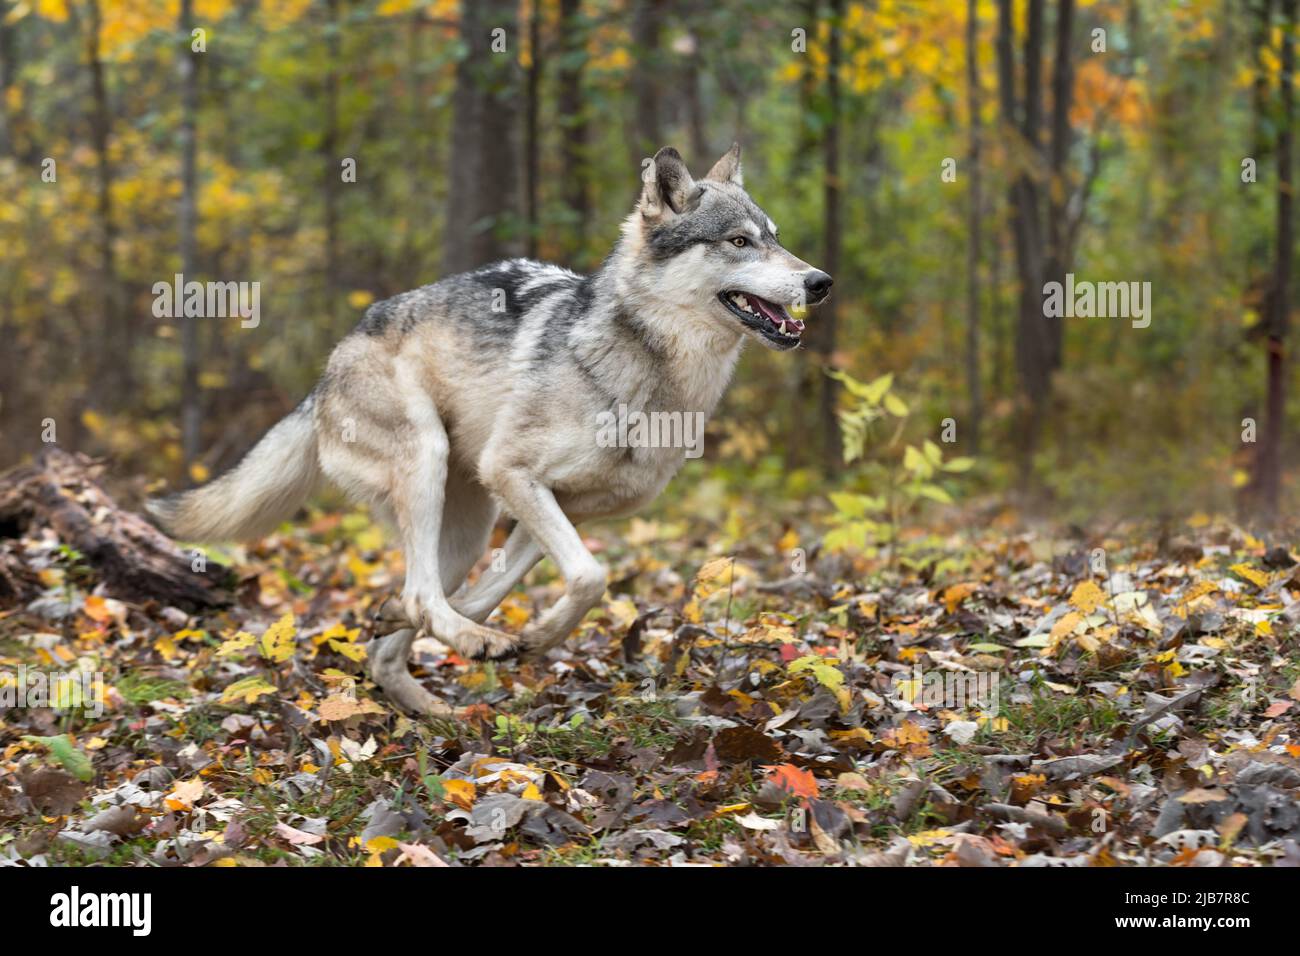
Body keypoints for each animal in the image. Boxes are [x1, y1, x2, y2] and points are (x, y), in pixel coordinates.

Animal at [147, 145, 833, 715]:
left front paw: (510, 634)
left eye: (776, 239)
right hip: (428, 458)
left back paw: (434, 702)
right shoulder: (514, 474)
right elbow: (590, 578)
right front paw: (522, 634)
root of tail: (328, 367)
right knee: (422, 593)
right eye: (739, 241)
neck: (650, 373)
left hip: (468, 528)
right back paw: (462, 647)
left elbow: (531, 585)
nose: (821, 281)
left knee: (400, 625)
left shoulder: (564, 507)